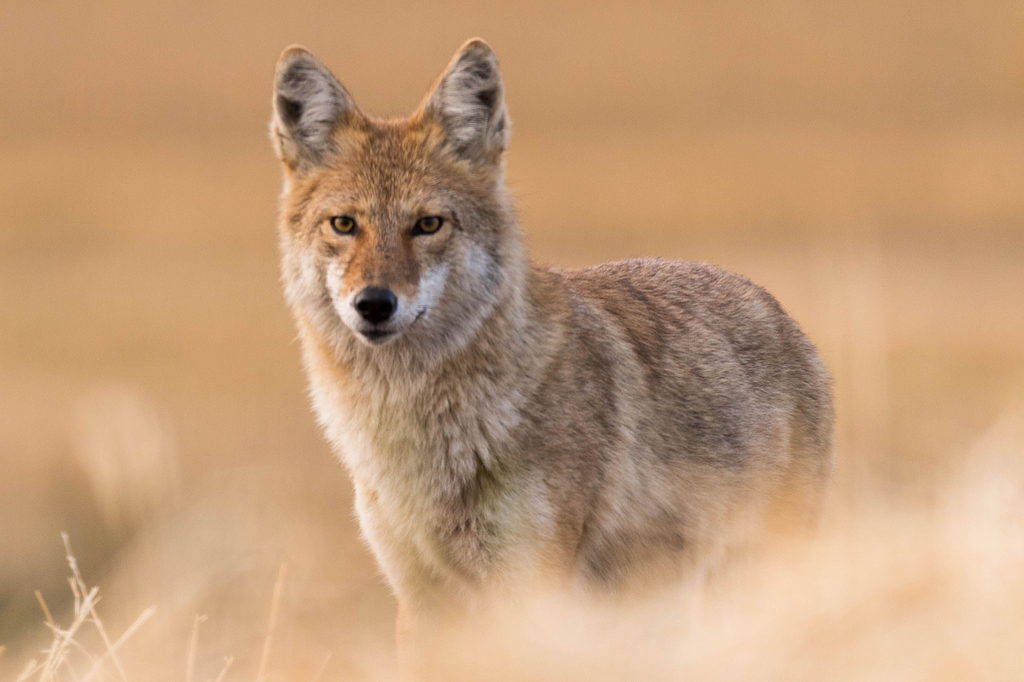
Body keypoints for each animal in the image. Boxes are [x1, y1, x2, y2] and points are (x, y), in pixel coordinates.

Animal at [269, 37, 833, 673]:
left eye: (428, 224)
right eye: (344, 224)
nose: (373, 303)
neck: (416, 438)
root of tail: (777, 310)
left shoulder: (532, 588)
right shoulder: (420, 599)